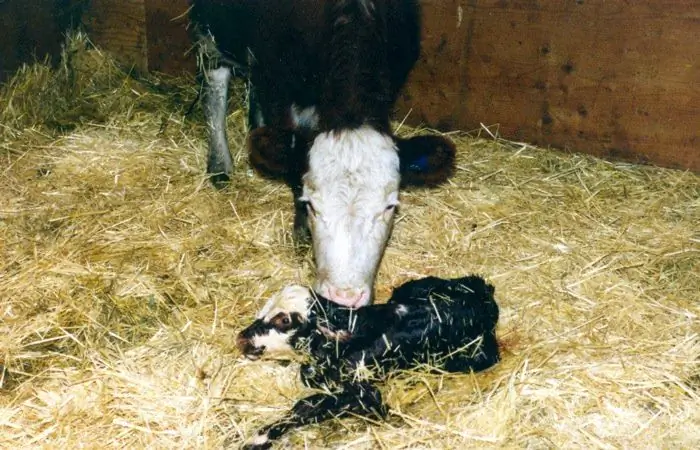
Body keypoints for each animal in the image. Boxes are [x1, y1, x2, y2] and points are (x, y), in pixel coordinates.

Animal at [189, 0, 456, 308]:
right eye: (312, 206)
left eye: (390, 207)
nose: (344, 297)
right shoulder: (281, 84)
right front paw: (301, 233)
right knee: (214, 77)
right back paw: (220, 164)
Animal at [238, 276, 500, 448]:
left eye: (284, 320)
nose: (241, 338)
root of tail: (482, 290)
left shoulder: (369, 395)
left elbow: (309, 405)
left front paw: (260, 438)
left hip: (476, 357)